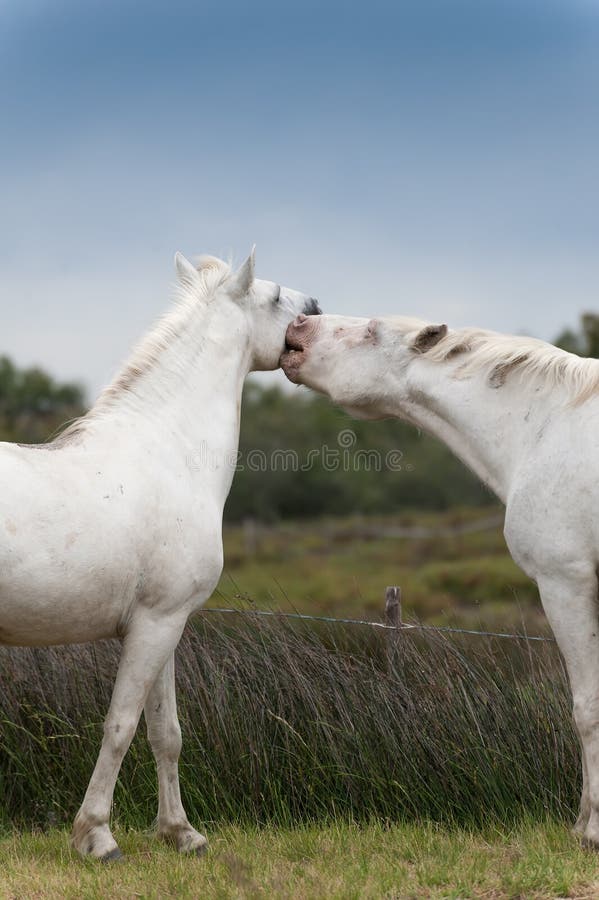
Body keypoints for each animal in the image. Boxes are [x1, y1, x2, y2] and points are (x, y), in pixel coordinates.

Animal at [0, 249, 320, 860]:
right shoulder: (155, 624)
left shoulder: (164, 624)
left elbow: (164, 733)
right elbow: (121, 726)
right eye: (272, 297)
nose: (315, 307)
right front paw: (96, 836)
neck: (170, 451)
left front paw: (181, 832)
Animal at [282, 311, 599, 847]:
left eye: (370, 331)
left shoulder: (567, 584)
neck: (546, 428)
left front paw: (592, 831)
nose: (300, 324)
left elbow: (587, 708)